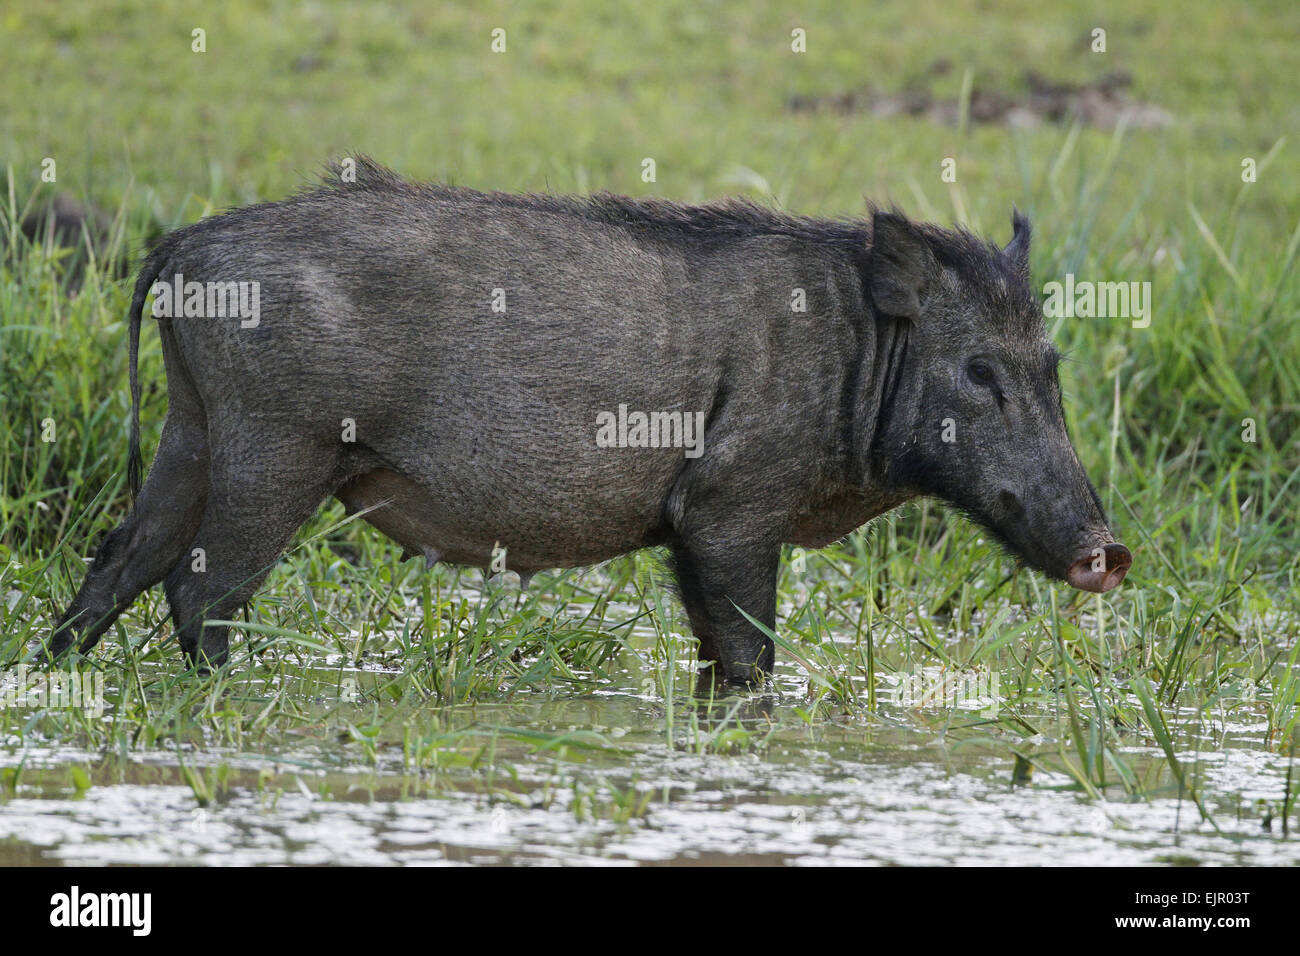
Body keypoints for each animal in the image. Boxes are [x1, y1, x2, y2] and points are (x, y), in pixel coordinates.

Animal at [43, 158, 1130, 685]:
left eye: (1052, 365)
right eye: (980, 370)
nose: (1109, 551)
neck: (856, 359)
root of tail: (182, 243)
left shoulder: (698, 528)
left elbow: (717, 660)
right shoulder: (730, 508)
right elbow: (749, 659)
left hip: (192, 432)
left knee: (117, 560)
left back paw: (49, 677)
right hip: (278, 450)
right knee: (203, 593)